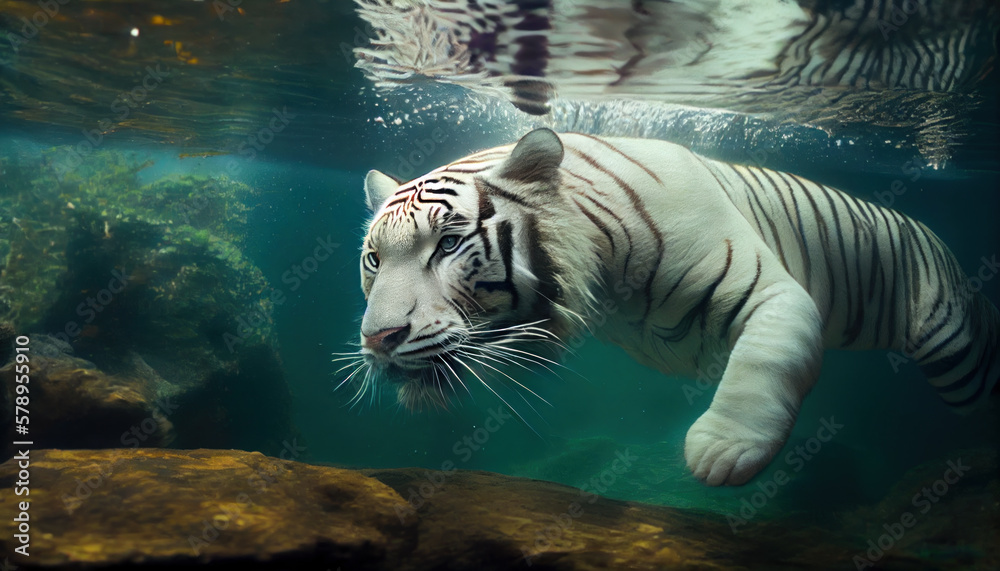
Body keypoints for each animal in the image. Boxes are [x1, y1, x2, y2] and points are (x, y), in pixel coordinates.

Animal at [350, 128, 999, 486]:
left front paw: (723, 451)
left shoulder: (772, 291)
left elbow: (765, 359)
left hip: (955, 356)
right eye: (375, 259)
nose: (379, 339)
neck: (603, 279)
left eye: (448, 245)